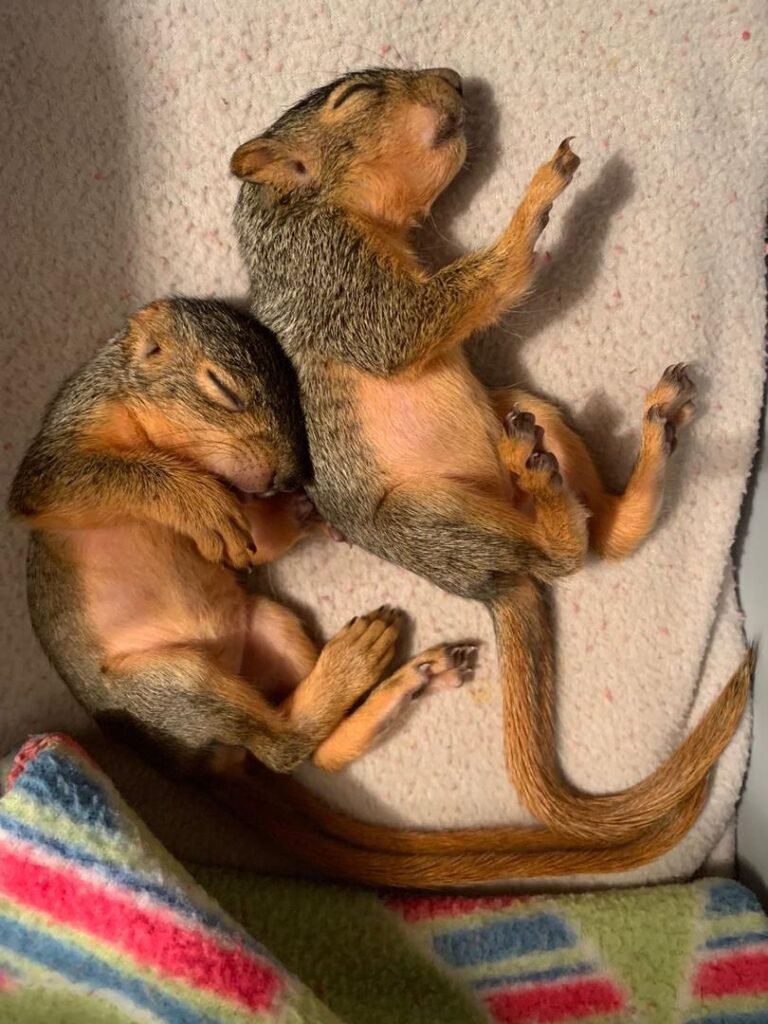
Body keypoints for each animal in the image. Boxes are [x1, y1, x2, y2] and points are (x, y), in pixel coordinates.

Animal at [8, 296, 478, 781]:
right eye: (224, 389)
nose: (286, 478)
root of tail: (199, 760)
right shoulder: (61, 449)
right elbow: (108, 475)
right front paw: (202, 502)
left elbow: (257, 539)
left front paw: (301, 509)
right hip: (171, 686)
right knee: (282, 746)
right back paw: (355, 663)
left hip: (272, 628)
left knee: (316, 749)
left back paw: (411, 674)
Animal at [225, 67, 752, 885]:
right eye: (354, 94)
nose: (453, 80)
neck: (313, 211)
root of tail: (489, 582)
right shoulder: (333, 282)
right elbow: (415, 321)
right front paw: (536, 204)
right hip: (433, 512)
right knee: (562, 557)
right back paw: (540, 488)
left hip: (527, 407)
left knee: (604, 537)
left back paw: (638, 443)